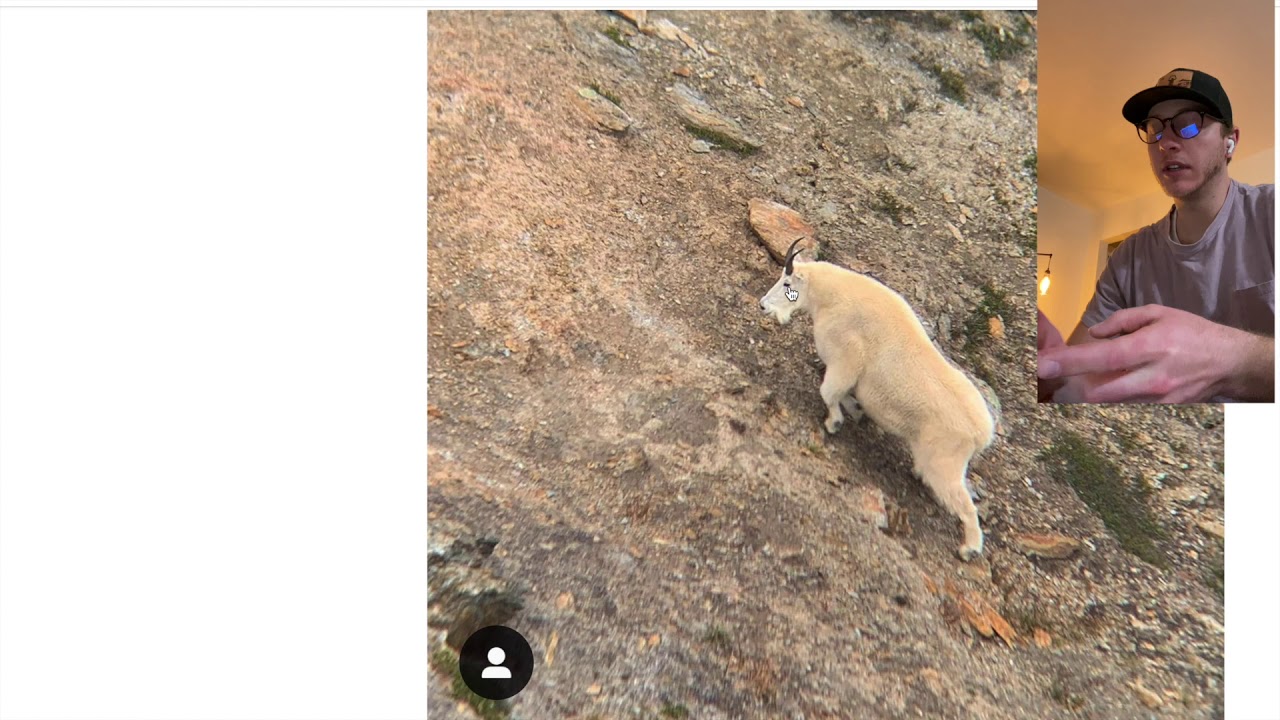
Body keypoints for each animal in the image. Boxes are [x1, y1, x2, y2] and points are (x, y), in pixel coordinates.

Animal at [758, 239, 995, 561]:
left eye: (786, 283)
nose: (763, 305)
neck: (828, 296)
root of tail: (981, 433)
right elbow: (847, 394)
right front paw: (855, 412)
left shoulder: (845, 357)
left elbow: (830, 391)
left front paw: (834, 423)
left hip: (944, 462)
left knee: (965, 505)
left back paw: (969, 548)